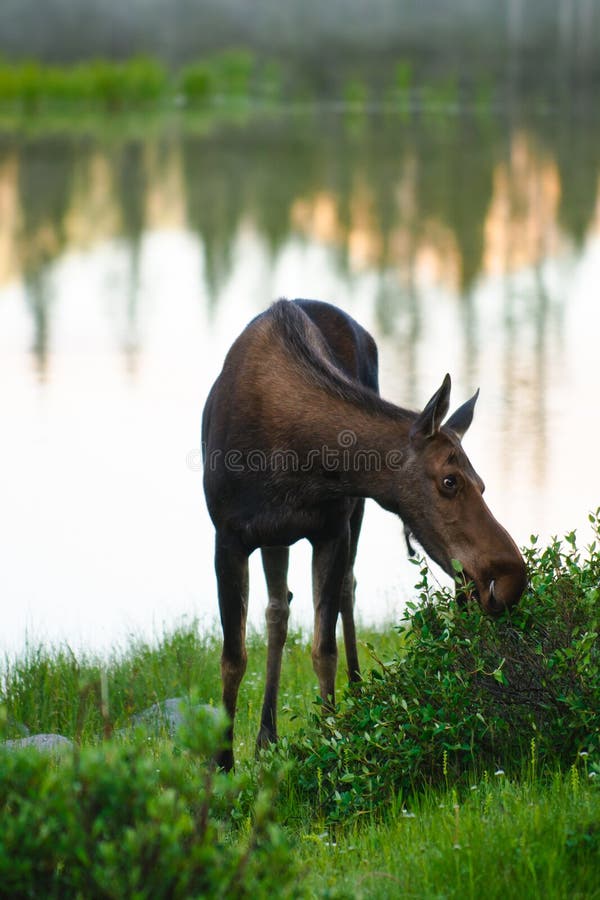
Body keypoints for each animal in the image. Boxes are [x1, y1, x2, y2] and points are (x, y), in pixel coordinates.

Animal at [202, 298, 527, 770]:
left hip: (354, 512)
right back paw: (266, 734)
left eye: (482, 484)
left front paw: (330, 739)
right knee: (278, 609)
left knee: (343, 591)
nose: (512, 577)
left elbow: (324, 649)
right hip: (277, 537)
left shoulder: (333, 528)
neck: (293, 461)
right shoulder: (228, 536)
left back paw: (352, 694)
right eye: (450, 481)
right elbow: (233, 656)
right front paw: (223, 763)